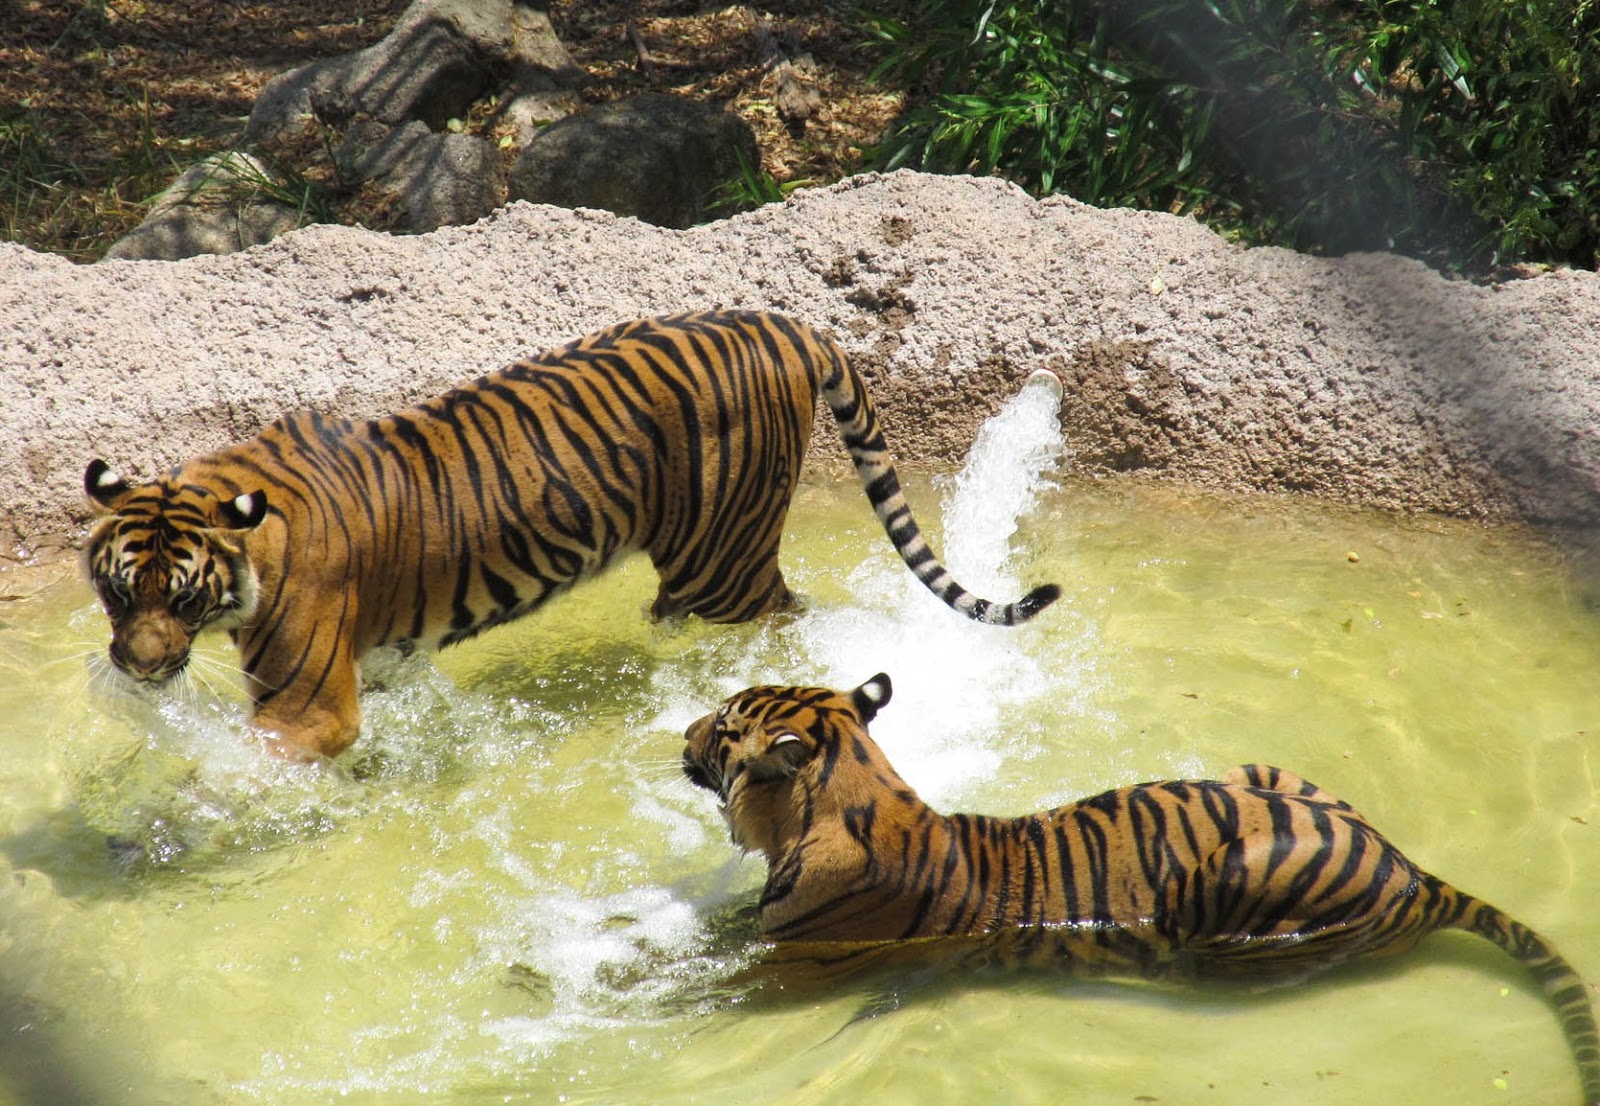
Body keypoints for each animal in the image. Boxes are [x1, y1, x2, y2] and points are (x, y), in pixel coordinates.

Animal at [82, 310, 1059, 761]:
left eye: (183, 597)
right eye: (117, 590)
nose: (136, 668)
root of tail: (781, 320)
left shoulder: (305, 708)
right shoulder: (382, 662)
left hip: (724, 565)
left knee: (788, 619)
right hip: (695, 570)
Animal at [681, 674, 1600, 1105]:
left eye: (723, 727)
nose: (679, 736)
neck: (849, 790)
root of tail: (1407, 865)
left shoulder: (805, 961)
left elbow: (714, 988)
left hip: (1226, 877)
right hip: (1253, 771)